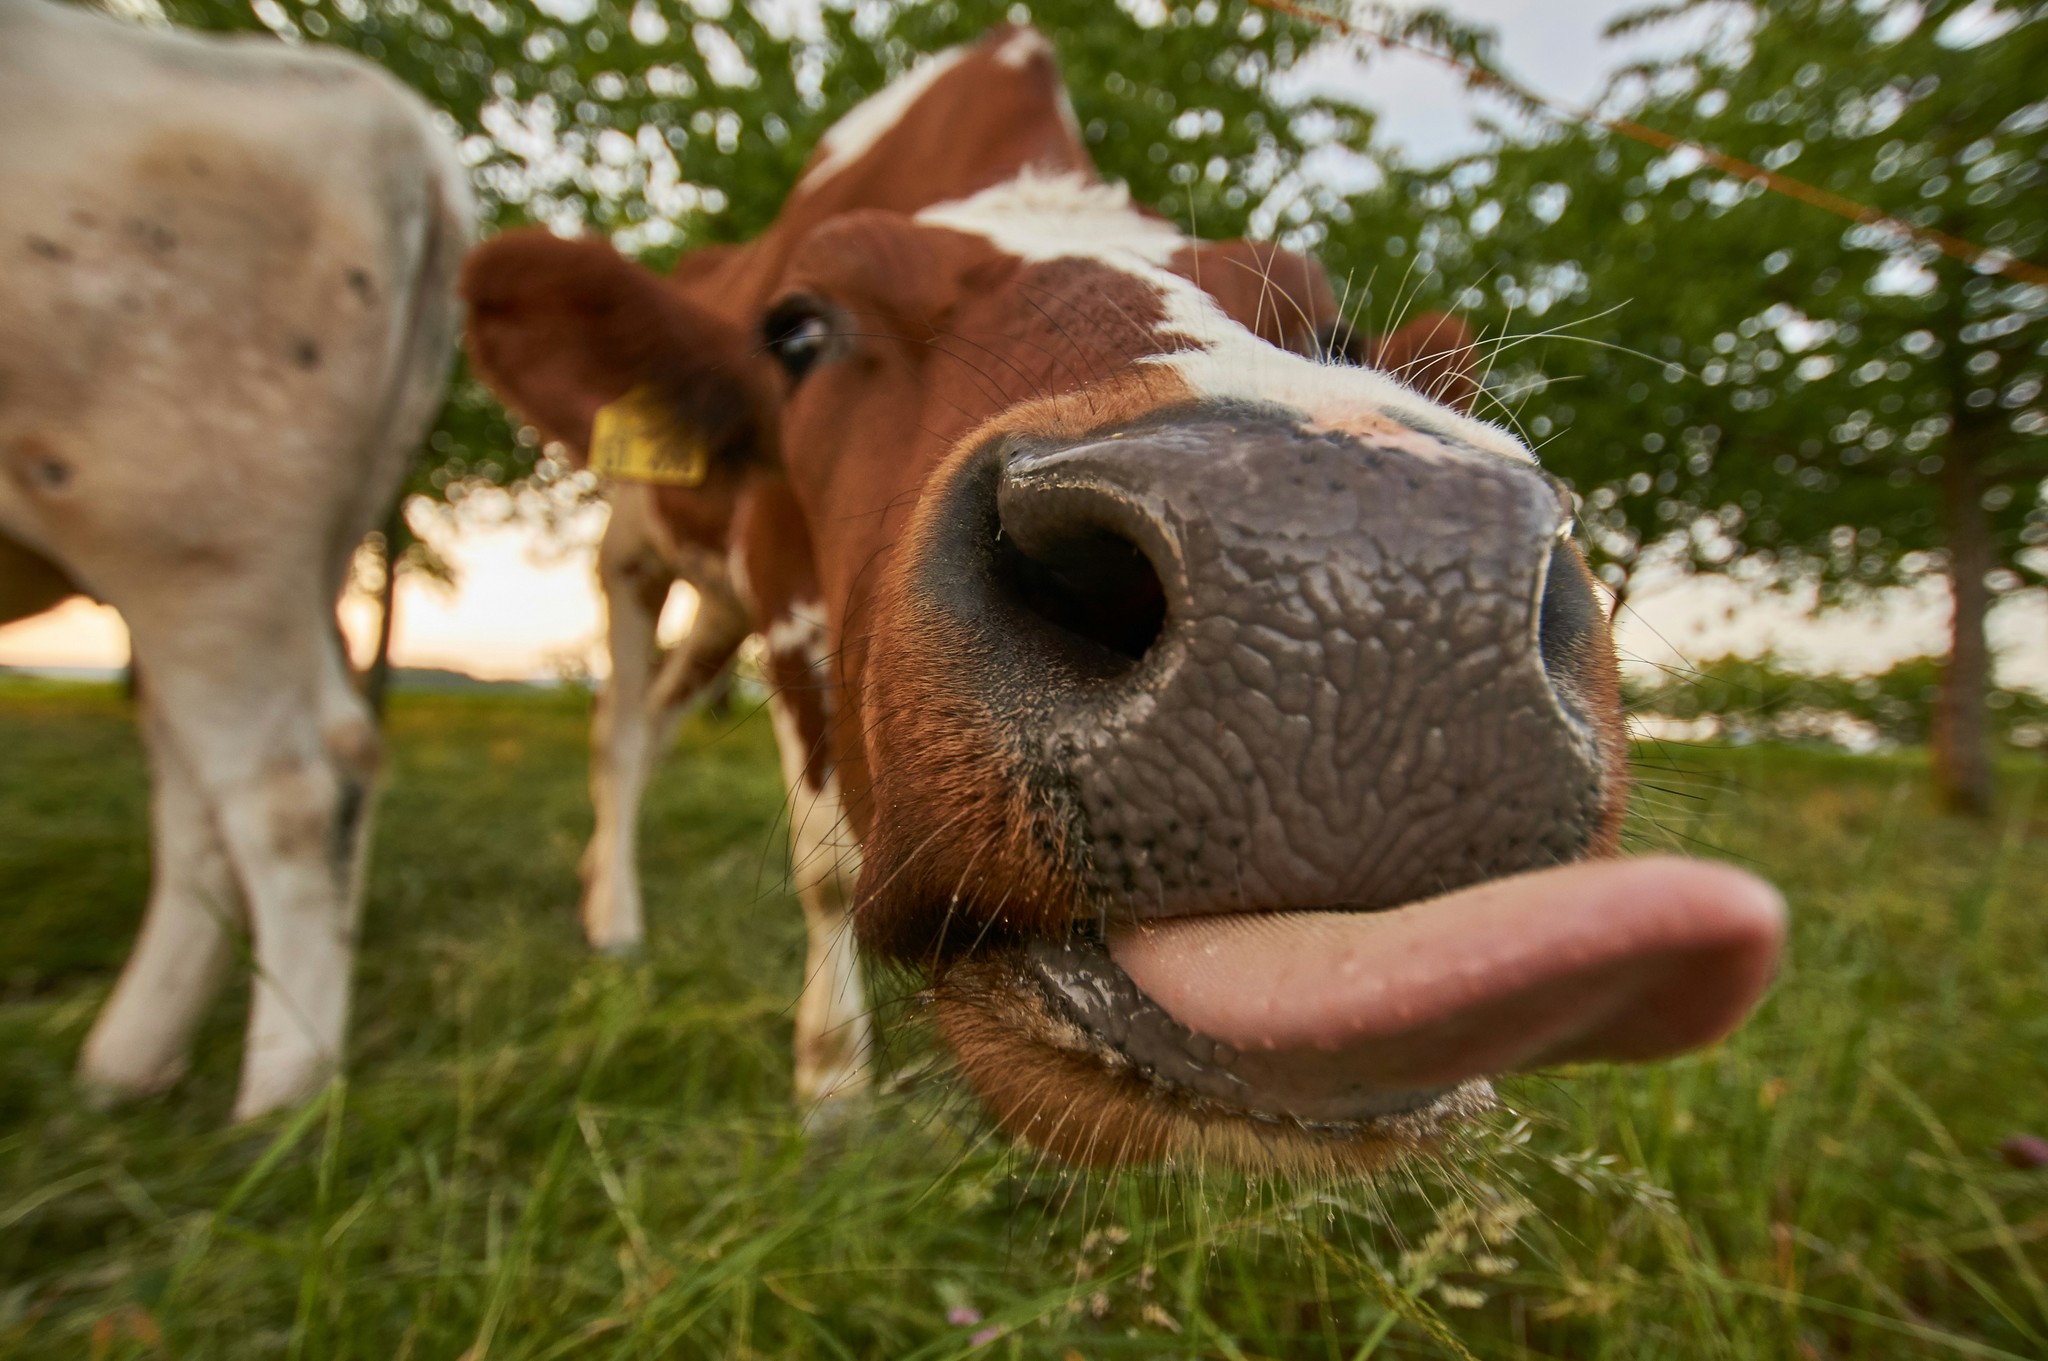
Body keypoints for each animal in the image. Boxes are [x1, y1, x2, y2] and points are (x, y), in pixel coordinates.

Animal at [0, 0, 473, 1120]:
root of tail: (406, 132)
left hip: (192, 521)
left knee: (286, 783)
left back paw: (278, 1100)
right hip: (281, 549)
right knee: (203, 796)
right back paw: (127, 1067)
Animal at [464, 25, 1785, 1171]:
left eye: (1334, 329)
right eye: (795, 330)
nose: (1359, 589)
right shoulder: (784, 584)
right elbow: (828, 865)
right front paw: (831, 1094)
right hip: (635, 553)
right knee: (621, 725)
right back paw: (614, 921)